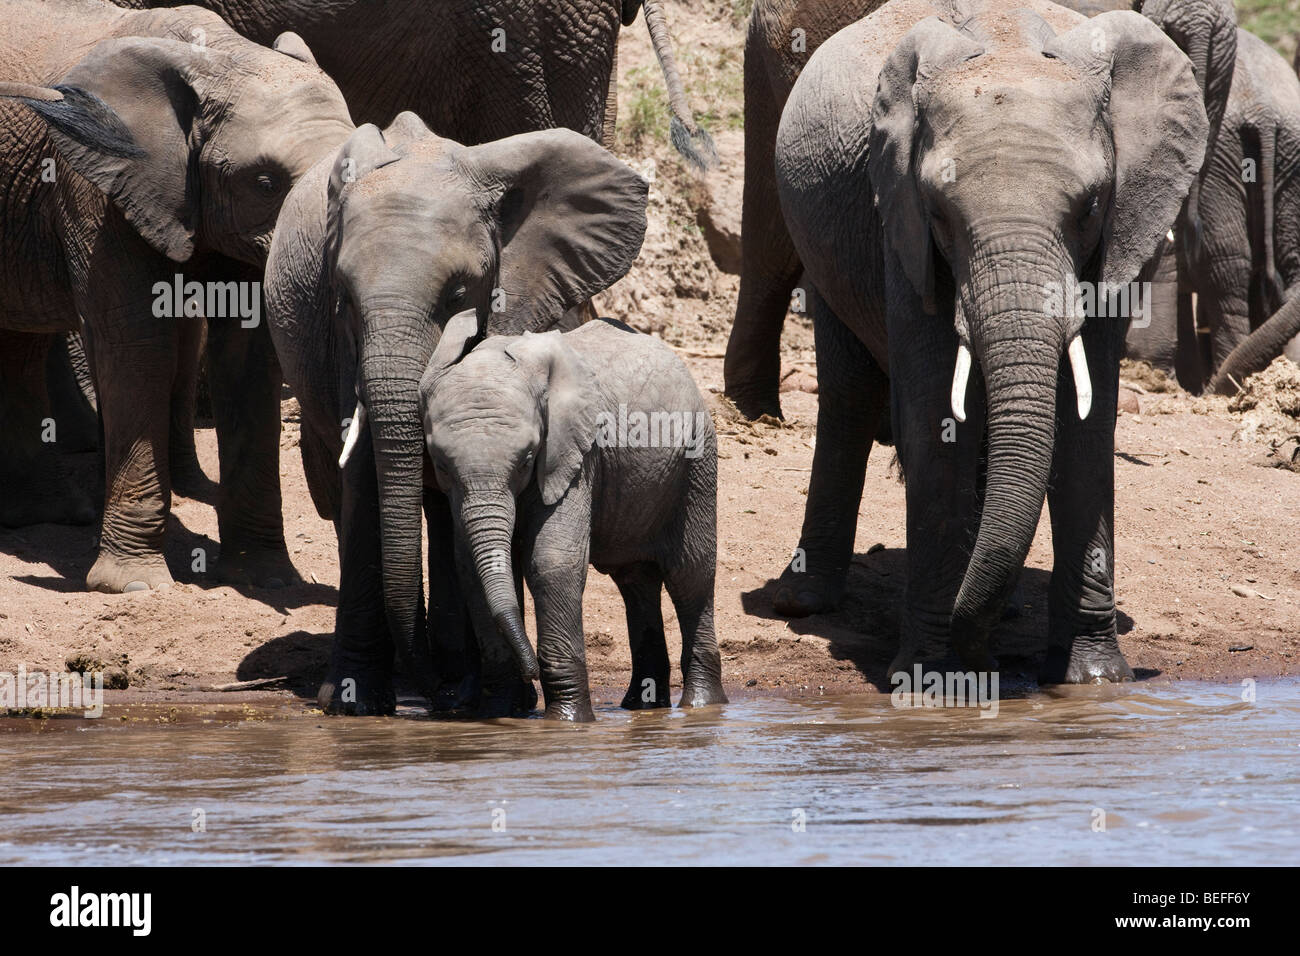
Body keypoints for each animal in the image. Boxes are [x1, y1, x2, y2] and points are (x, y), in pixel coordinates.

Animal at [0, 0, 354, 592]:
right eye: (264, 183)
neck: (220, 58)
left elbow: (249, 358)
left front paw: (265, 577)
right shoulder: (96, 182)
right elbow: (138, 349)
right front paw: (134, 585)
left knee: (20, 341)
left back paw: (48, 513)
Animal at [264, 116, 650, 715]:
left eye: (458, 294)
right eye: (343, 299)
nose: (437, 694)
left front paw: (492, 695)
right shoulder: (339, 345)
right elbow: (365, 481)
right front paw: (354, 702)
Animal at [417, 314, 727, 721]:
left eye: (527, 459)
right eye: (440, 464)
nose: (530, 670)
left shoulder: (575, 454)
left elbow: (552, 562)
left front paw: (567, 721)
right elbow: (469, 566)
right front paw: (500, 713)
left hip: (696, 457)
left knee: (689, 575)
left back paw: (701, 706)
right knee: (636, 582)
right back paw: (642, 706)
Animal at [771, 0, 1207, 683]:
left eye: (1090, 207)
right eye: (940, 212)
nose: (995, 664)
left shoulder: (1115, 239)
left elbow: (1087, 425)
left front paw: (1094, 678)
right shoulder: (901, 224)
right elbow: (936, 420)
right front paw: (934, 677)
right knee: (849, 398)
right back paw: (805, 600)